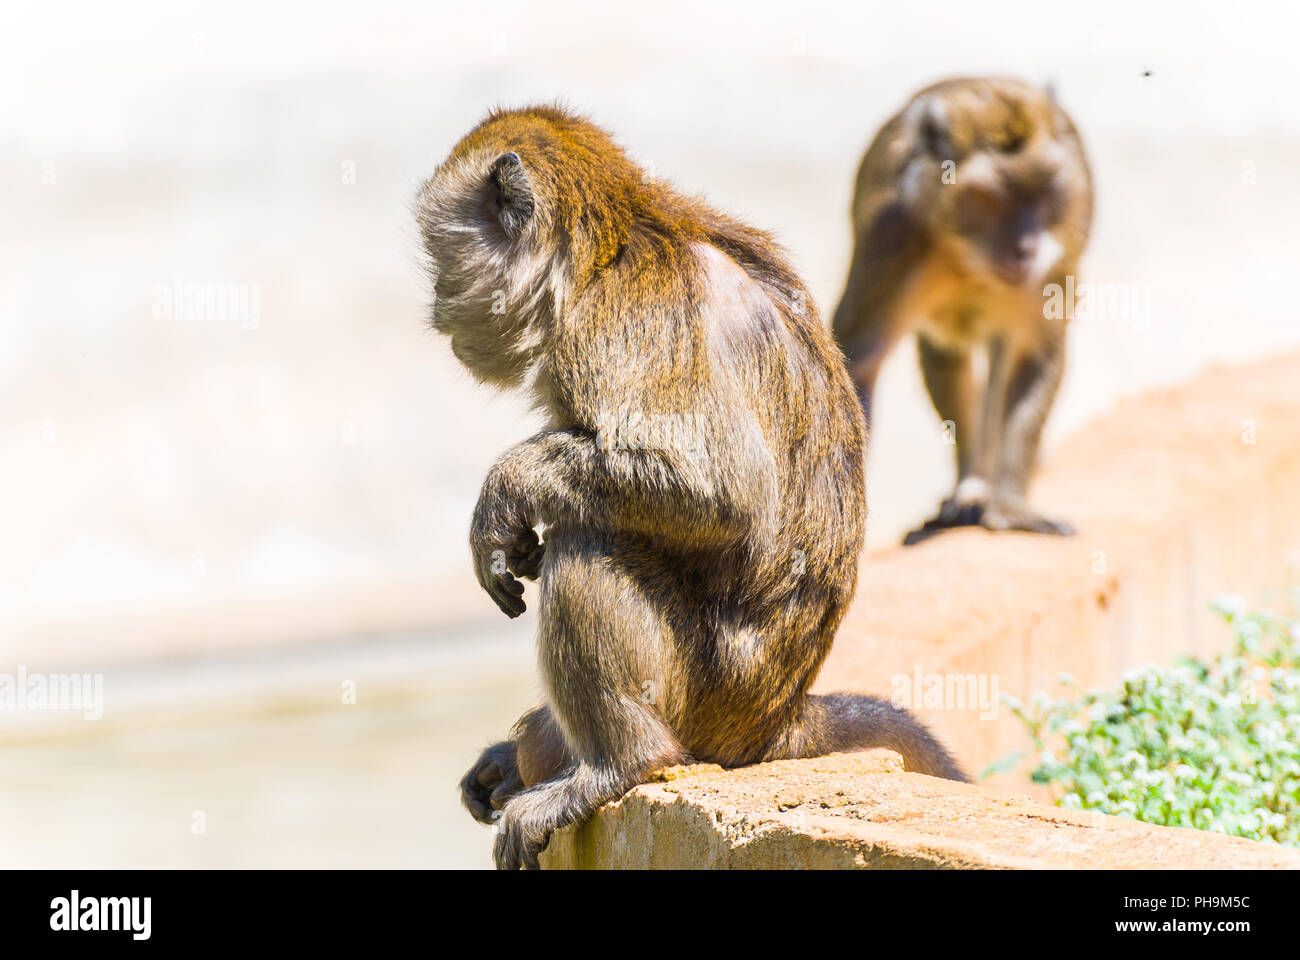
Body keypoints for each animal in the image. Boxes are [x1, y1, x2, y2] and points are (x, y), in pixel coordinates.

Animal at [414, 105, 968, 869]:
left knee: (591, 539)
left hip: (708, 694)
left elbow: (720, 491)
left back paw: (619, 763)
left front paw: (507, 489)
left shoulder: (624, 319)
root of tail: (776, 719)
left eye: (439, 256)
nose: (436, 306)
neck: (598, 257)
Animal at [831, 77, 1093, 543]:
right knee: (947, 354)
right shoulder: (895, 238)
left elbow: (1033, 356)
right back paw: (969, 488)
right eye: (994, 199)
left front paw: (1010, 505)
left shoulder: (1055, 260)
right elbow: (859, 361)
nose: (1026, 249)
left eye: (1047, 194)